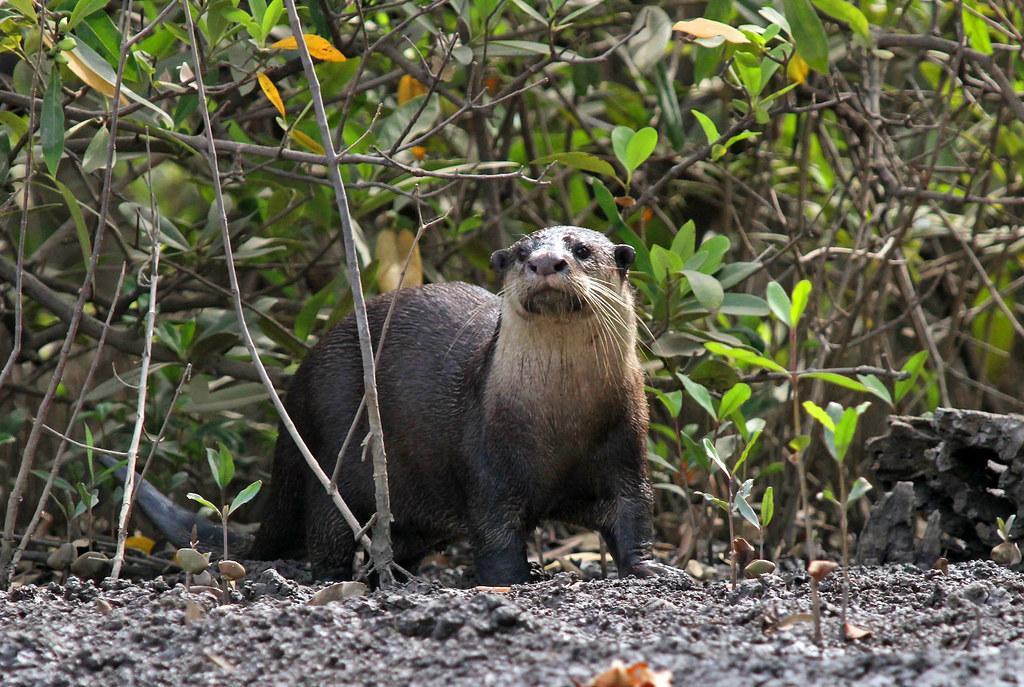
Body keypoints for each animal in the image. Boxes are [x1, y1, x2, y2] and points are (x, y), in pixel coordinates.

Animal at [130, 226, 680, 585]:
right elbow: (496, 530)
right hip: (331, 446)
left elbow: (634, 513)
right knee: (327, 533)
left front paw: (657, 569)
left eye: (583, 250)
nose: (545, 262)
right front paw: (514, 578)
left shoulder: (625, 443)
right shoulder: (488, 460)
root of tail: (298, 388)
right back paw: (339, 579)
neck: (560, 420)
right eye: (521, 252)